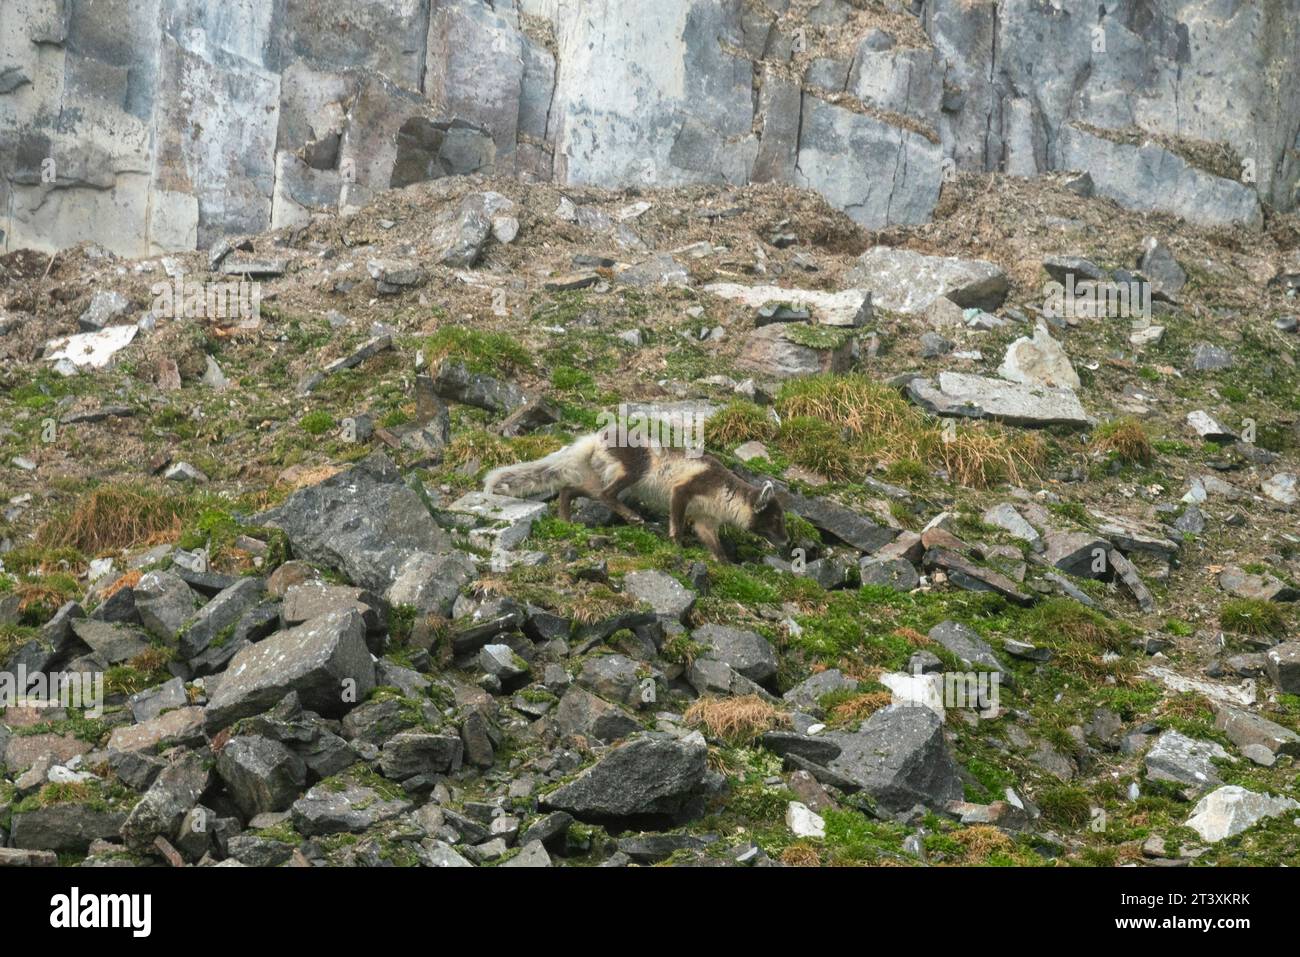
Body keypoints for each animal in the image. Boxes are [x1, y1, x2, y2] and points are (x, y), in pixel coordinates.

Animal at [483, 429, 789, 562]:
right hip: (635, 470)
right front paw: (677, 546)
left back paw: (566, 520)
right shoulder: (684, 490)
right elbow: (677, 523)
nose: (786, 542)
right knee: (608, 495)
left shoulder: (705, 521)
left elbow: (715, 545)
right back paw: (633, 517)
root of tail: (594, 438)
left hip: (598, 478)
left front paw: (726, 566)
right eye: (775, 520)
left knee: (571, 489)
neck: (724, 495)